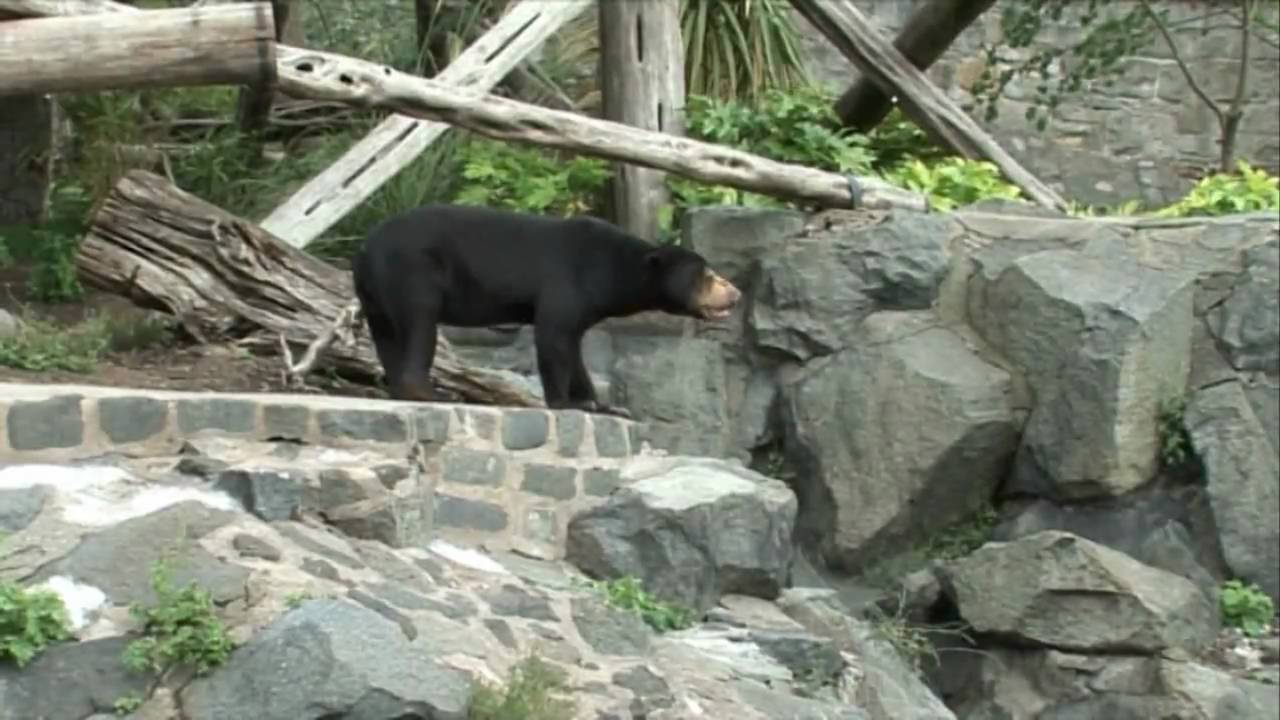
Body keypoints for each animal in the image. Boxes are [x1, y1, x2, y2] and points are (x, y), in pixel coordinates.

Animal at [352, 203, 742, 417]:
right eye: (708, 276)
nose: (736, 293)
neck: (612, 268)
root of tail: (365, 248)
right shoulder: (567, 280)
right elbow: (553, 337)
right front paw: (569, 403)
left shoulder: (587, 302)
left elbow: (574, 345)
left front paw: (603, 404)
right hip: (413, 271)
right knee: (420, 323)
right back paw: (431, 392)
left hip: (374, 294)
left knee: (386, 335)